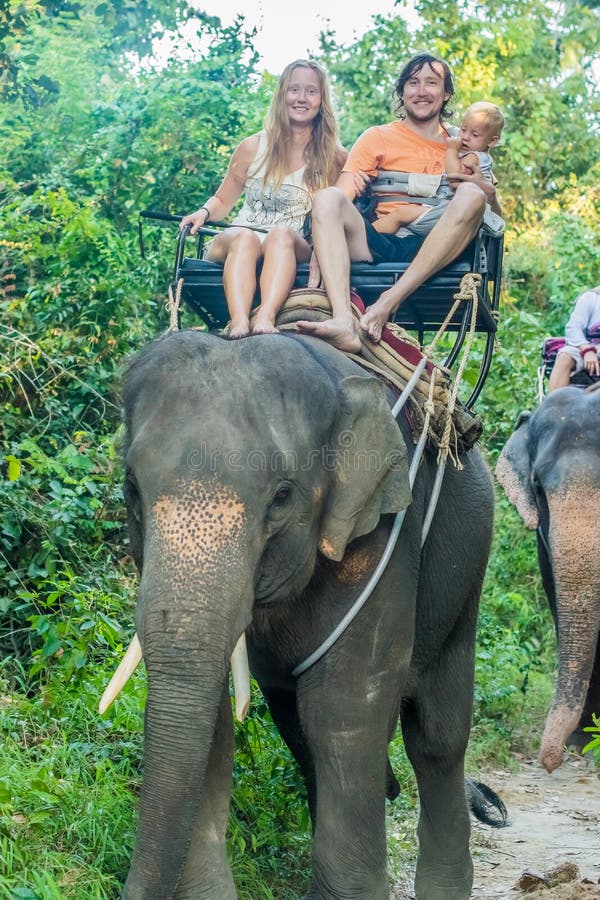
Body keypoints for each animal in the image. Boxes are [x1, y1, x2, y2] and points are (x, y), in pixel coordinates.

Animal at [117, 328, 498, 899]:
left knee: (437, 735)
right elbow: (212, 719)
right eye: (132, 489)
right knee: (300, 733)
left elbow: (345, 711)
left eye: (280, 497)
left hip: (470, 564)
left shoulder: (382, 533)